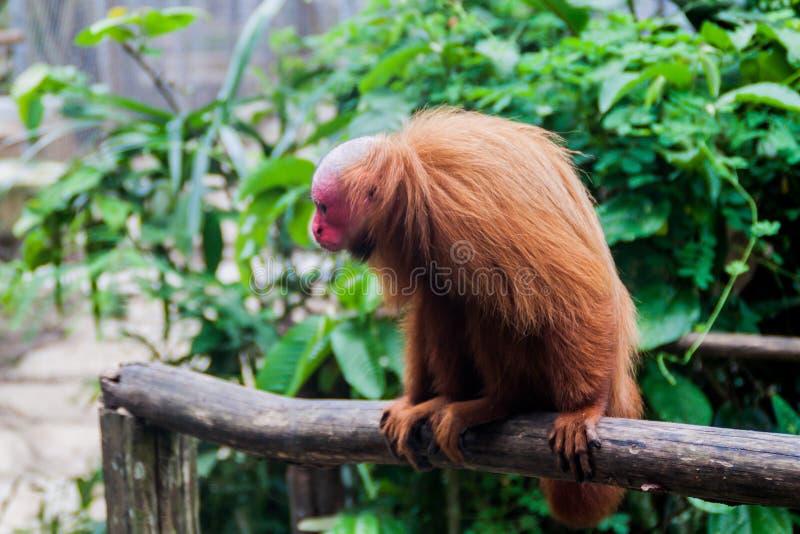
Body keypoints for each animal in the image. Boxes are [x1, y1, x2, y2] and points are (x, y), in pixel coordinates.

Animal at [310, 108, 643, 529]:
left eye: (322, 207)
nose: (314, 228)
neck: (412, 179)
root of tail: (618, 384)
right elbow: (429, 299)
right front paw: (413, 399)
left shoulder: (470, 200)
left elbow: (576, 289)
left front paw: (584, 409)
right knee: (450, 300)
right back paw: (445, 399)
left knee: (496, 300)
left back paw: (503, 401)